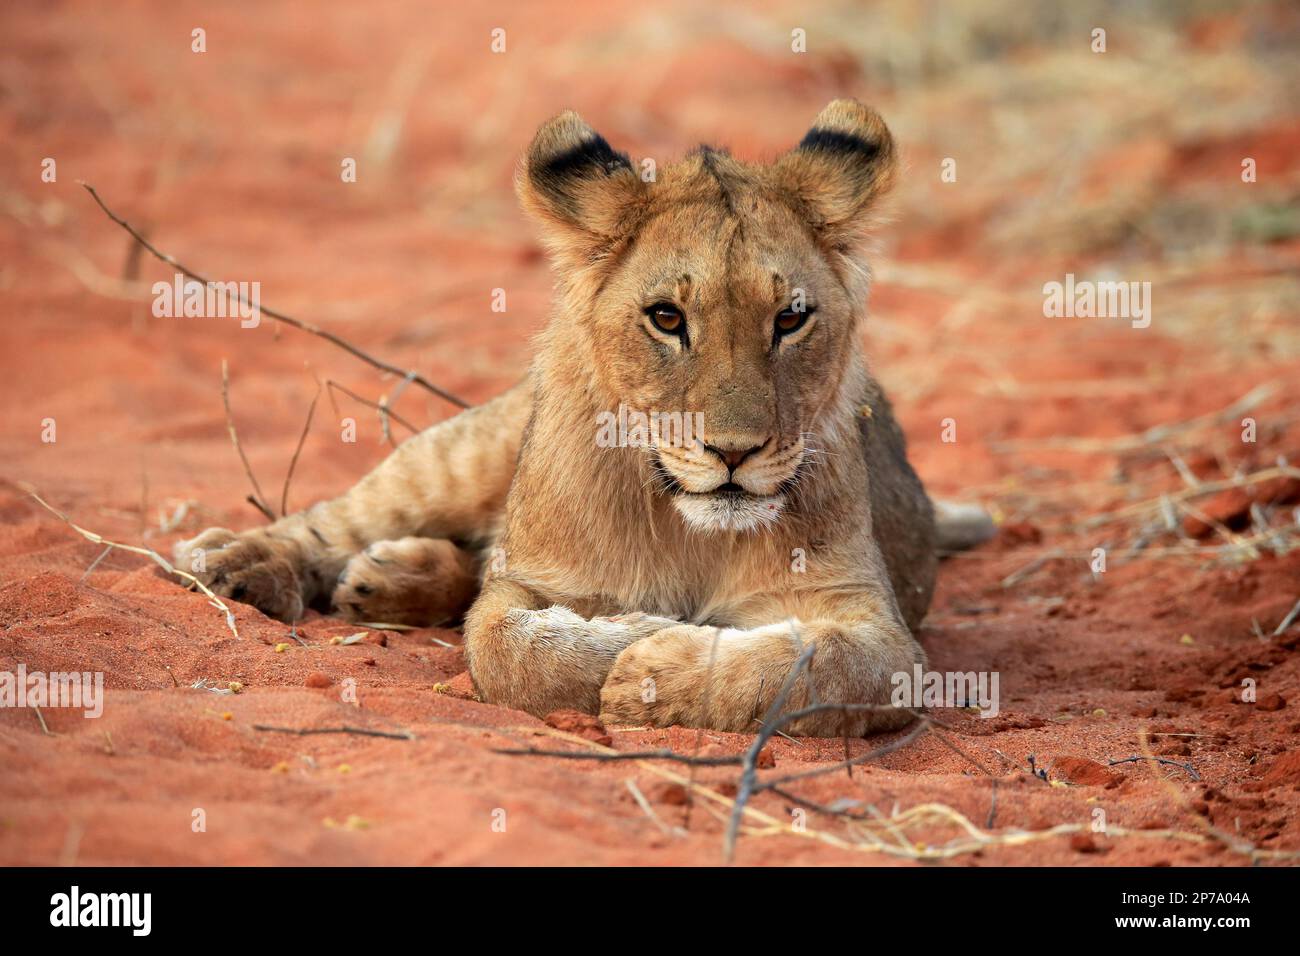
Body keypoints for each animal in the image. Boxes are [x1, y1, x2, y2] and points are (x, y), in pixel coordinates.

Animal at [175, 99, 991, 737]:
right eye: (667, 318)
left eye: (790, 319)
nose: (733, 452)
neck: (690, 529)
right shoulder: (524, 580)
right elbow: (510, 650)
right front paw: (643, 638)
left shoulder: (875, 625)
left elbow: (810, 667)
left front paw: (664, 669)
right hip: (465, 454)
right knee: (335, 520)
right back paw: (238, 563)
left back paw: (390, 578)